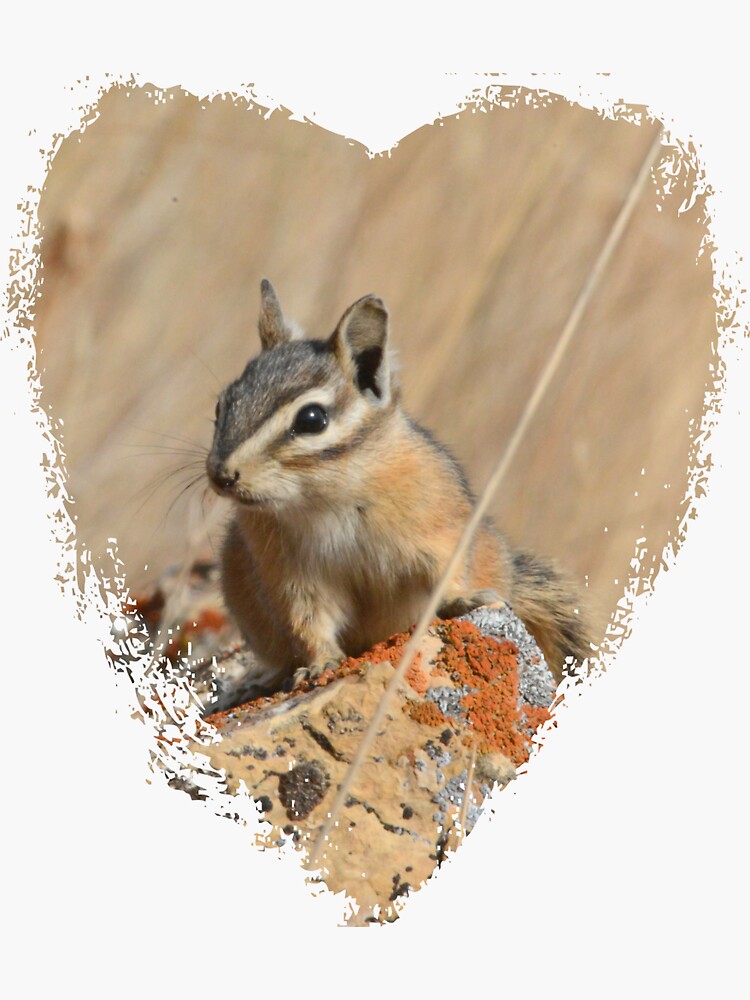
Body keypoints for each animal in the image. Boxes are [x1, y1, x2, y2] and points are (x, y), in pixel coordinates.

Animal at [206, 279, 590, 692]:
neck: (327, 496)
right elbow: (307, 623)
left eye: (311, 419)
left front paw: (460, 600)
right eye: (221, 405)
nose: (221, 475)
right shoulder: (288, 578)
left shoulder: (439, 532)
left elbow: (446, 575)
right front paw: (320, 664)